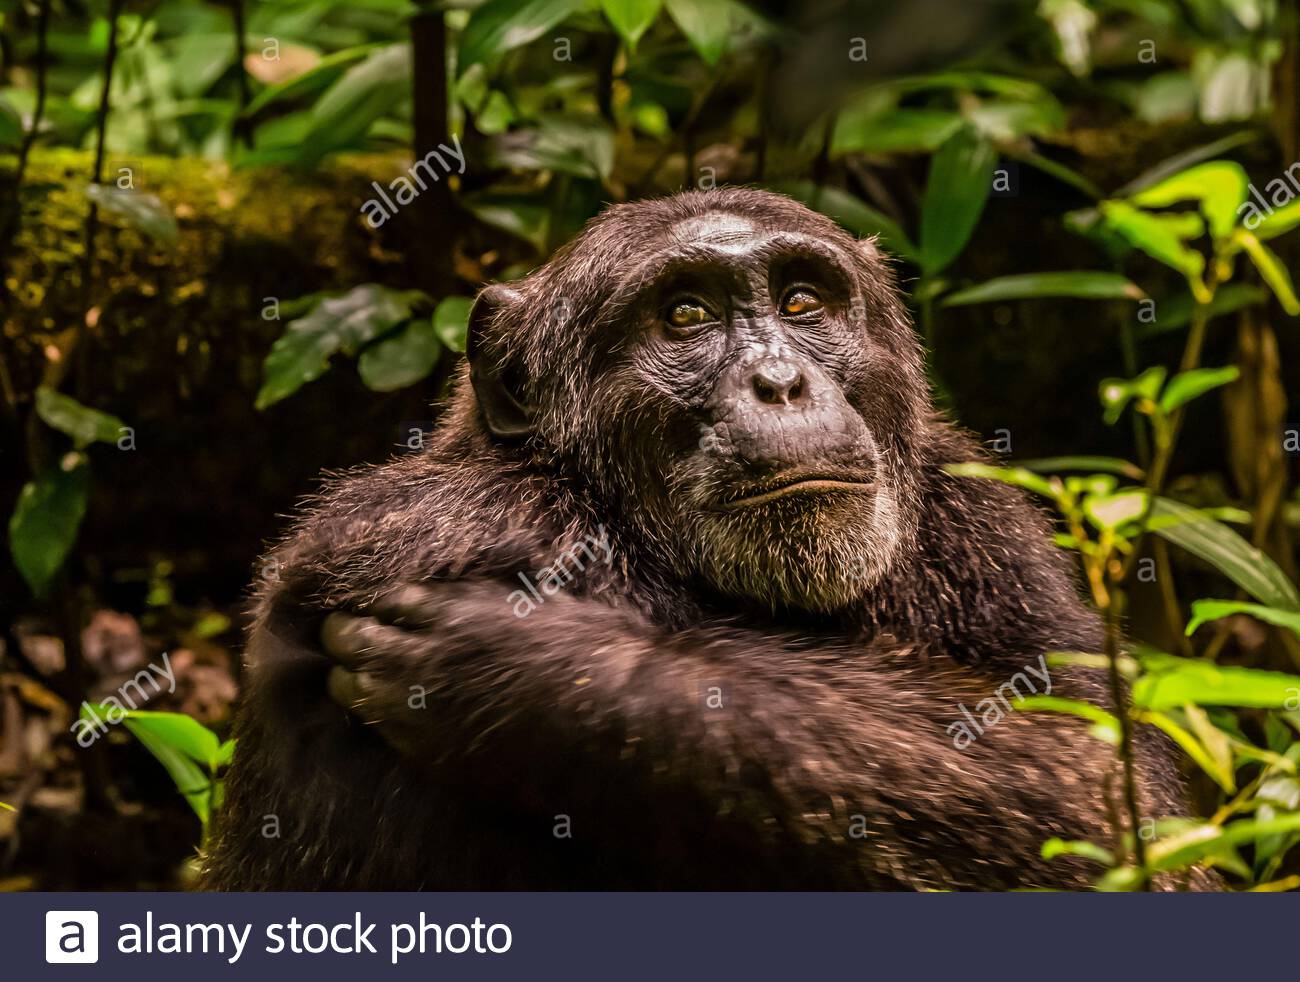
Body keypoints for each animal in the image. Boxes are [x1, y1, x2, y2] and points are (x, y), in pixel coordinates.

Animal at [202, 188, 1215, 891]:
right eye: (685, 316)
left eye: (803, 302)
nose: (780, 382)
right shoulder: (470, 525)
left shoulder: (994, 532)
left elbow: (1101, 788)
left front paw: (532, 666)